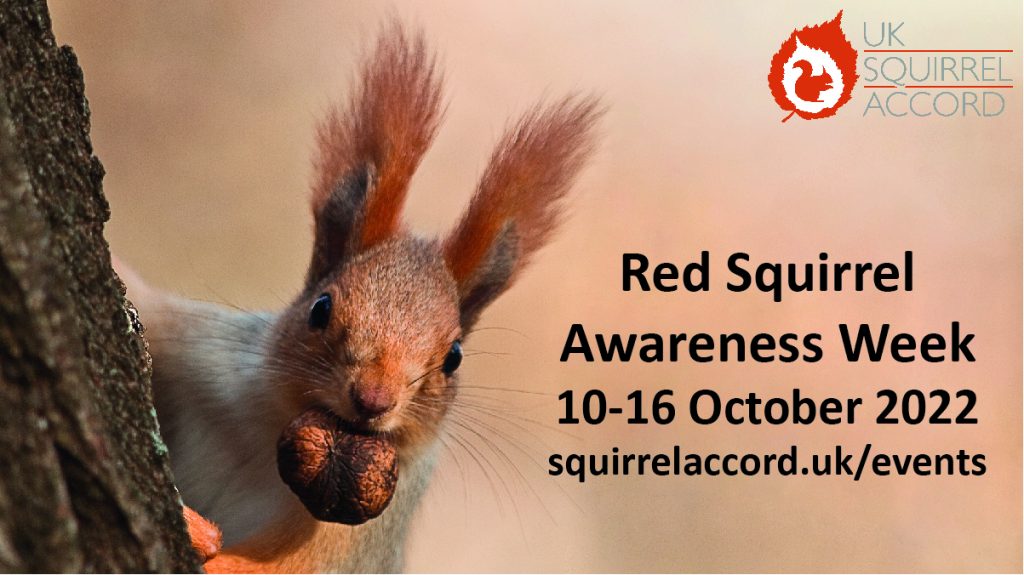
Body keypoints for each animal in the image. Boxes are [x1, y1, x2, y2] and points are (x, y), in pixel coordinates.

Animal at [115, 21, 600, 573]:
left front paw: (203, 541)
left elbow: (278, 567)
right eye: (320, 309)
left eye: (454, 357)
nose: (373, 398)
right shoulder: (207, 350)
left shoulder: (359, 531)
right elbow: (147, 307)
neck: (273, 428)